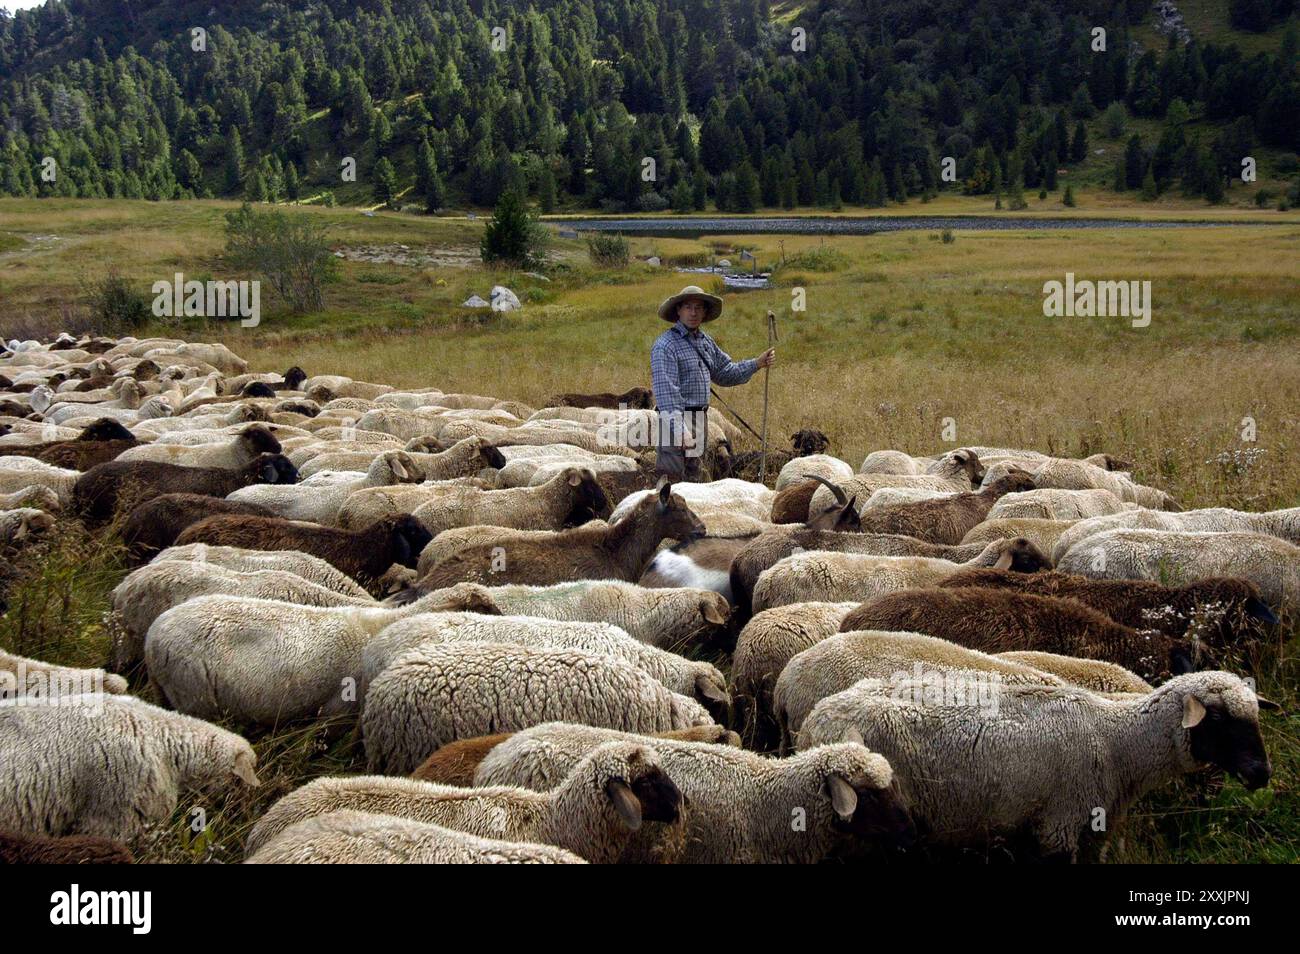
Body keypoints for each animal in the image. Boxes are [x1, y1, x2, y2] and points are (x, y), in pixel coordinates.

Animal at [794, 671, 1271, 861]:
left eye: (1254, 718)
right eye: (1219, 719)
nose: (1262, 773)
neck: (1117, 741)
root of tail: (813, 723)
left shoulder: (1091, 833)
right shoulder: (1057, 826)